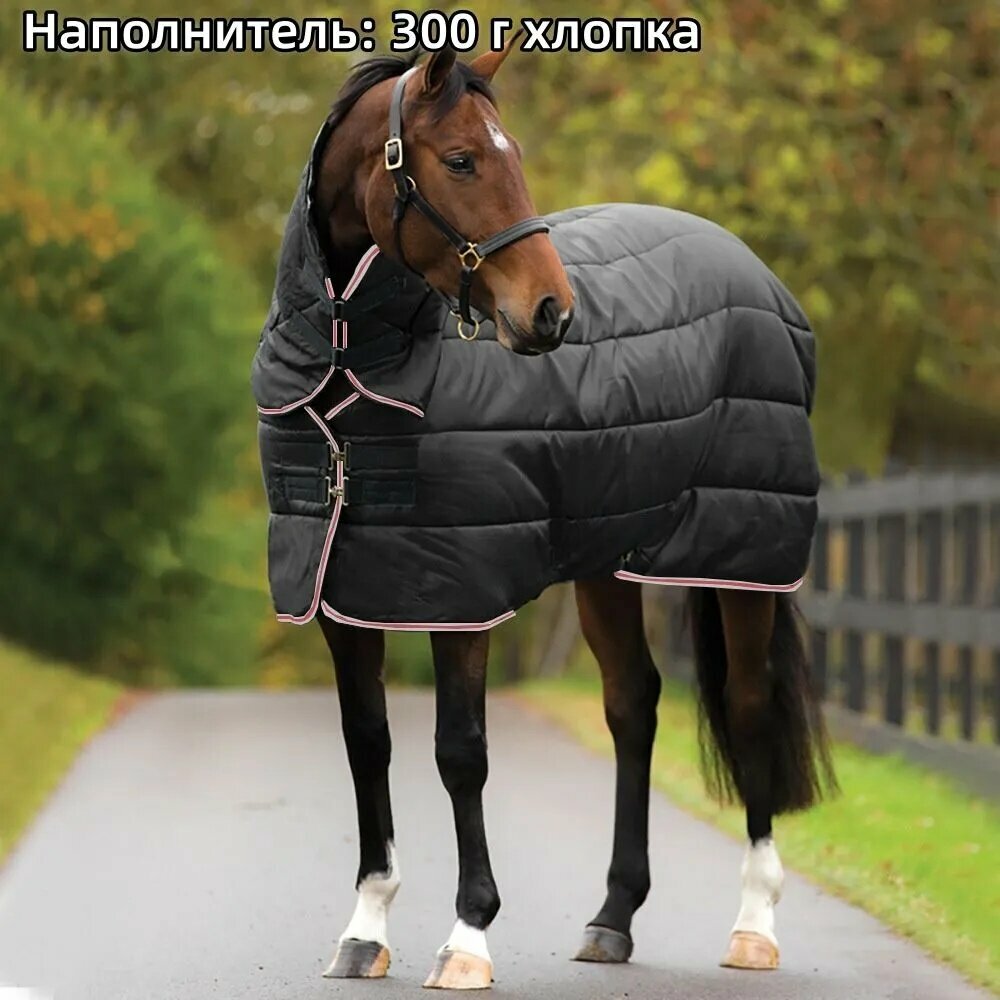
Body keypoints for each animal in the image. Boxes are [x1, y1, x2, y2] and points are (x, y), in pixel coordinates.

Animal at [252, 39, 836, 991]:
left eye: (514, 154)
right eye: (461, 160)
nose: (552, 312)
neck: (356, 367)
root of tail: (758, 275)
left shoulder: (460, 595)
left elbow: (460, 753)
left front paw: (467, 937)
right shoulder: (343, 591)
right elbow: (366, 742)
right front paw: (366, 929)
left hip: (743, 557)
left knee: (748, 706)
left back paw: (754, 925)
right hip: (608, 563)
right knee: (633, 704)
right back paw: (613, 918)